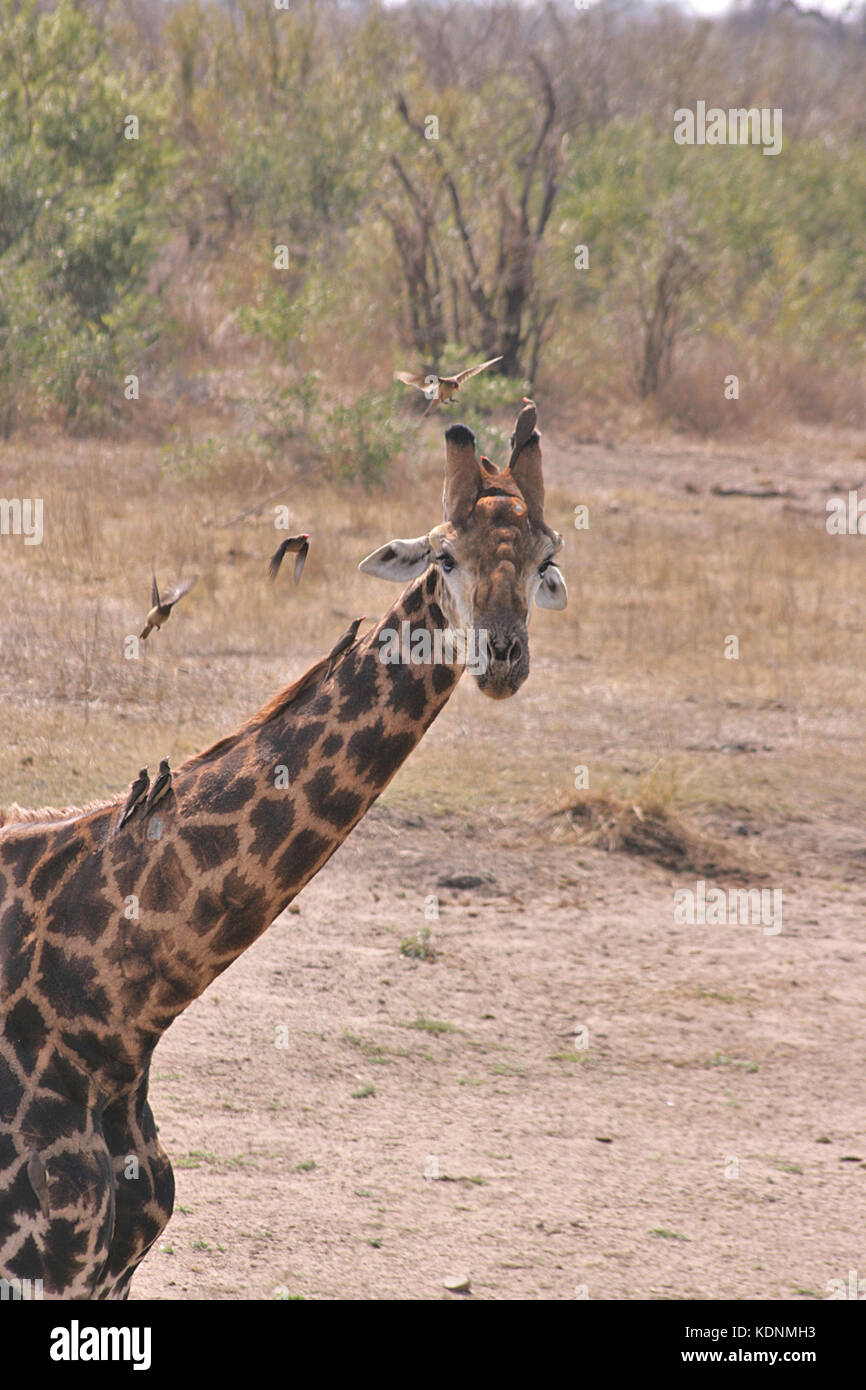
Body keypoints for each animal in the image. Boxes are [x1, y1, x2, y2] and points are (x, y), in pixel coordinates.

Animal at [0, 409, 567, 1299]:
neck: (112, 1012)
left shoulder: (106, 1271)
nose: (504, 656)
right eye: (443, 555)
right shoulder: (38, 1264)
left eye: (548, 557)